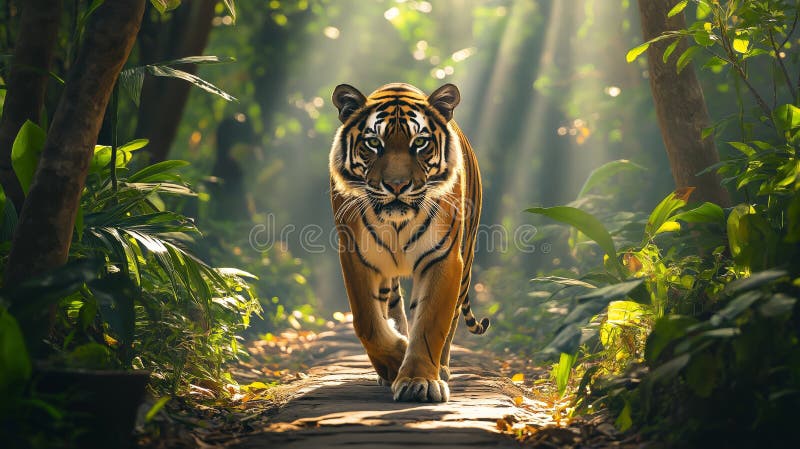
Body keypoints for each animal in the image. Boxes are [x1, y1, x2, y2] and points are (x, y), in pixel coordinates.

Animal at [329, 82, 488, 402]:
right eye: (373, 143)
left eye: (420, 143)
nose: (397, 186)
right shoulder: (355, 255)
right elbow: (367, 322)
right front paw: (397, 357)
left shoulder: (443, 258)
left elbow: (430, 324)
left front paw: (419, 380)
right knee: (391, 305)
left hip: (466, 258)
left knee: (452, 319)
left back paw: (442, 368)